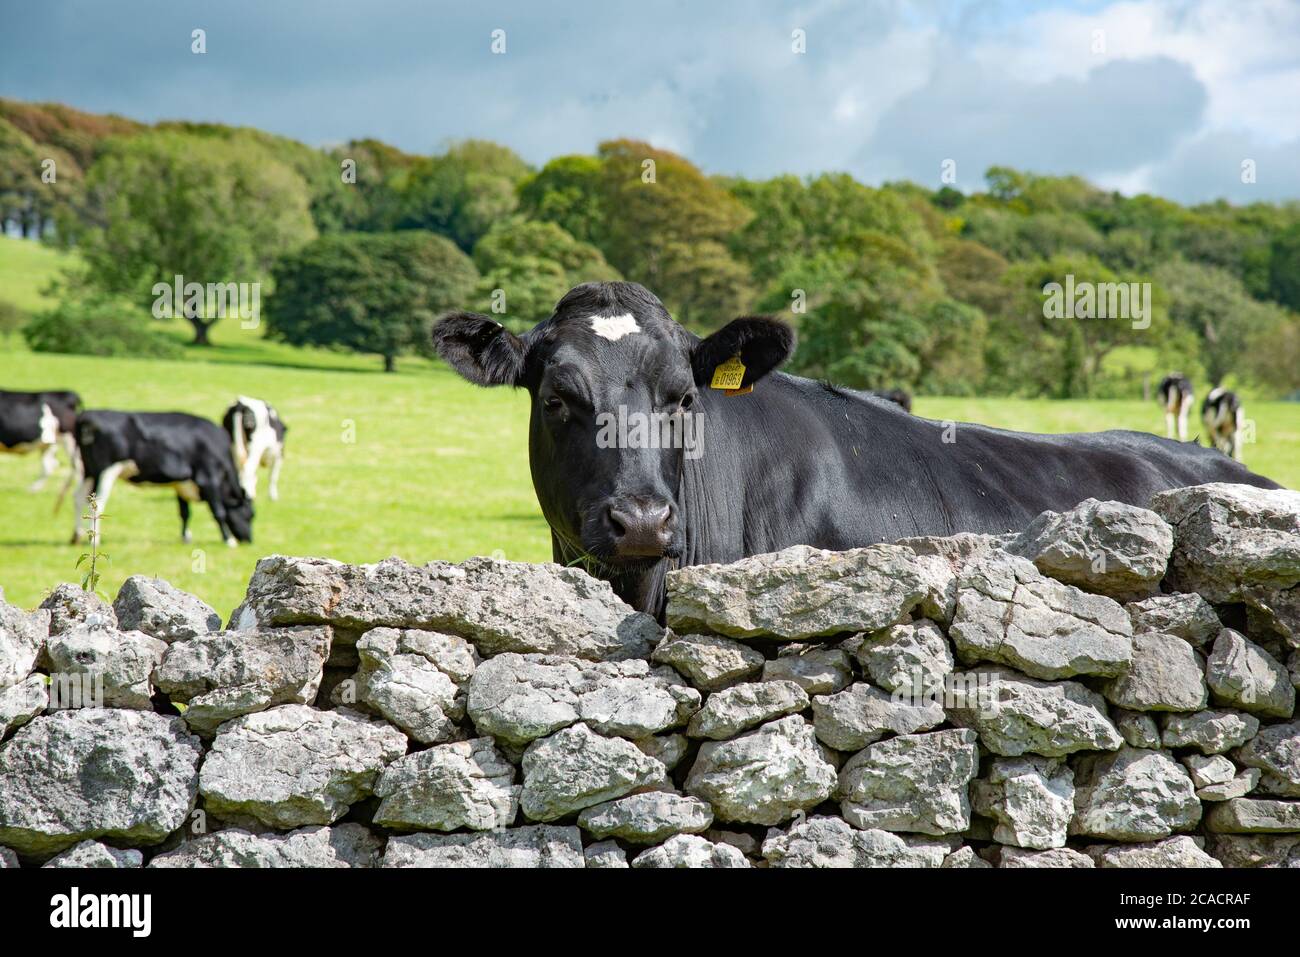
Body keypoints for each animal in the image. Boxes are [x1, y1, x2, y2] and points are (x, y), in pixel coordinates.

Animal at [72, 411, 253, 547]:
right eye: (249, 516)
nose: (249, 540)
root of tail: (87, 416)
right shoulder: (209, 478)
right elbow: (219, 512)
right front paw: (228, 540)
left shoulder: (181, 482)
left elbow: (184, 513)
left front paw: (186, 537)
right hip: (106, 471)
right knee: (97, 505)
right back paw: (95, 541)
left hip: (88, 471)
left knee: (79, 498)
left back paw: (77, 536)